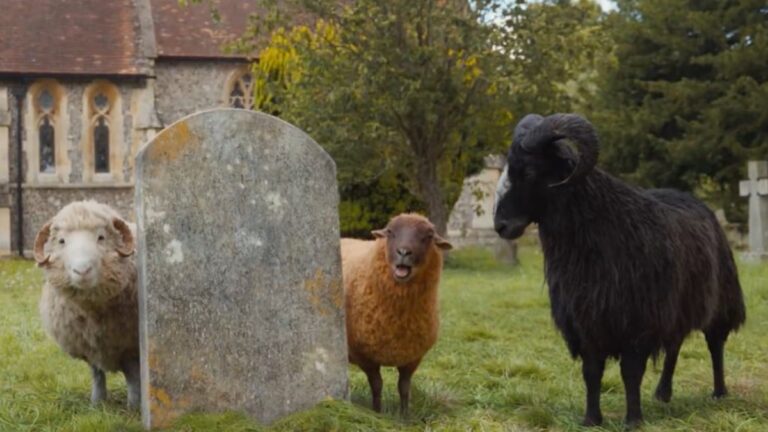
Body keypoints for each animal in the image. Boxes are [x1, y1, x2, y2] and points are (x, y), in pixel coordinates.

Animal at [34, 200, 139, 409]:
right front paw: (97, 403)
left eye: (101, 237)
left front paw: (134, 406)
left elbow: (132, 375)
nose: (82, 270)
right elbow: (96, 373)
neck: (92, 311)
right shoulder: (87, 343)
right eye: (61, 241)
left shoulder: (129, 345)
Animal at [341, 213, 452, 414]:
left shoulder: (412, 357)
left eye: (428, 236)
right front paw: (377, 412)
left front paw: (405, 415)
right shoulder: (365, 356)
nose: (404, 252)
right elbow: (377, 385)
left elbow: (404, 387)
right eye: (390, 232)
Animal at [493, 113, 746, 427]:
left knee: (715, 345)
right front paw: (591, 419)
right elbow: (591, 373)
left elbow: (631, 373)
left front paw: (633, 420)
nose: (500, 226)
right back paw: (663, 393)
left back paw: (719, 392)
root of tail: (695, 200)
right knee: (674, 346)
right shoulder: (586, 322)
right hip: (676, 307)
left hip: (720, 300)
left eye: (528, 171)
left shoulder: (637, 322)